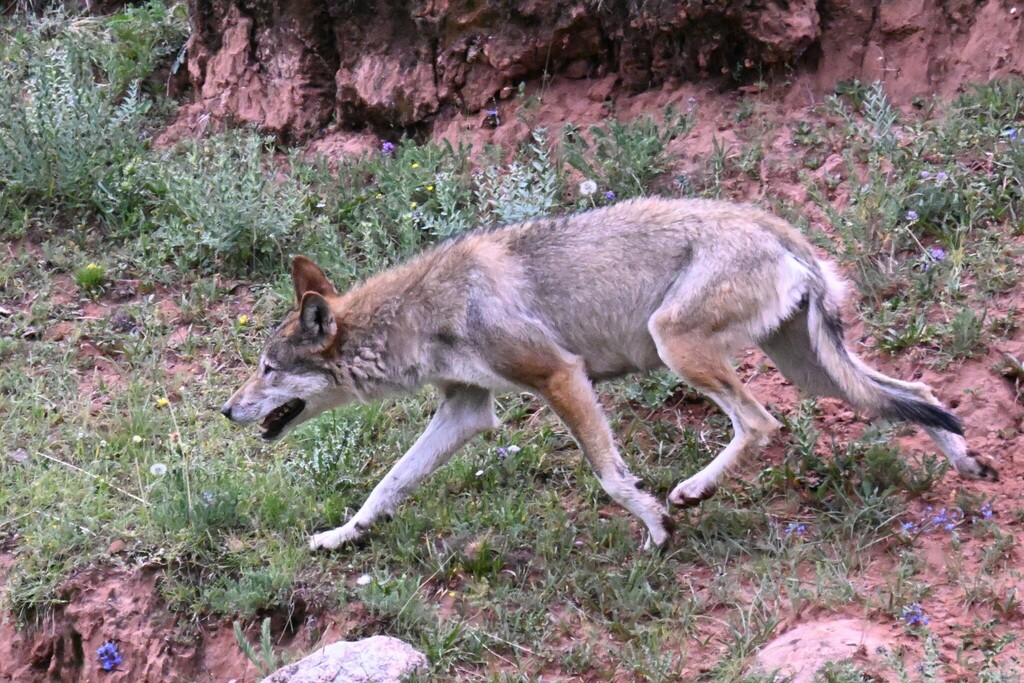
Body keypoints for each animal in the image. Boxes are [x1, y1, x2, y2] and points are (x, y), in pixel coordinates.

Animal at [221, 197, 996, 551]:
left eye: (265, 368)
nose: (226, 410)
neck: (423, 311)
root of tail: (777, 227)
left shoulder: (560, 377)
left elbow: (609, 476)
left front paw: (655, 526)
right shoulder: (467, 411)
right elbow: (386, 485)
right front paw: (339, 537)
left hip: (681, 347)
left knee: (762, 422)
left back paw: (690, 491)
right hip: (813, 372)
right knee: (916, 394)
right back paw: (969, 463)